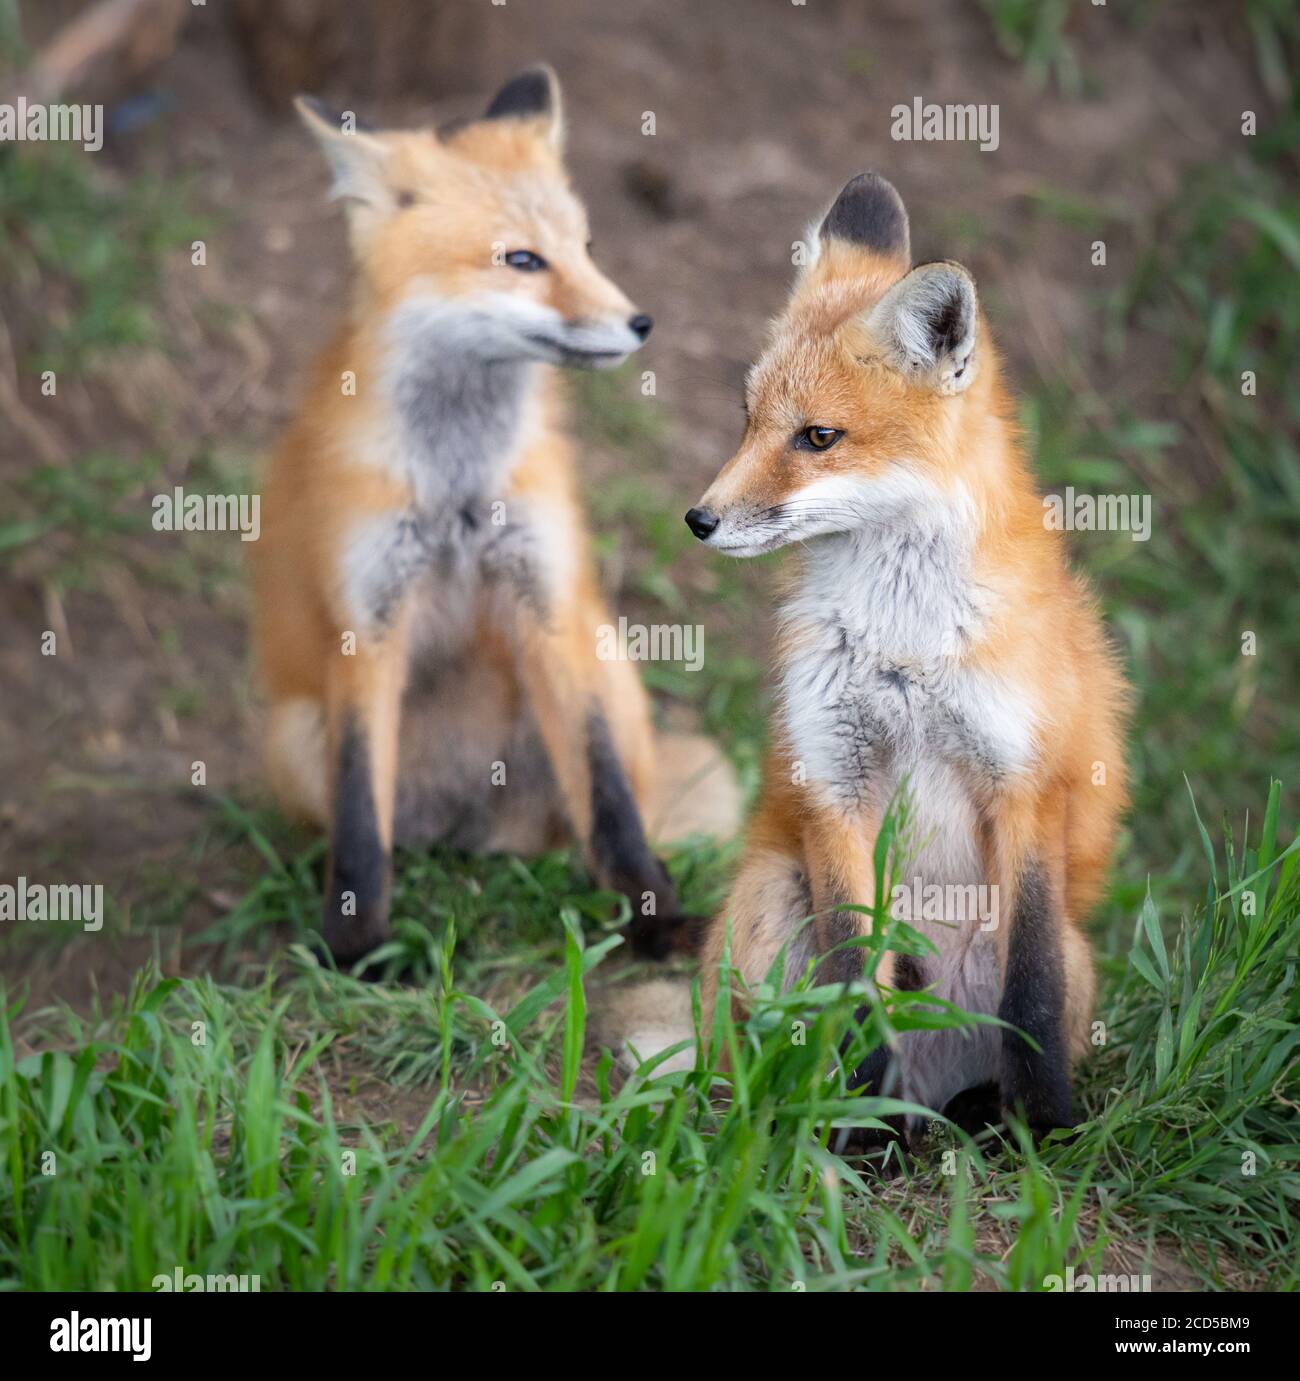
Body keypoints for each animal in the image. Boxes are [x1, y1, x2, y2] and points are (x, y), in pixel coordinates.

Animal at [252, 66, 739, 965]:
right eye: (521, 259)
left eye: (587, 247)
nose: (640, 322)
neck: (458, 486)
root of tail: (474, 836)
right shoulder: (366, 621)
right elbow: (359, 818)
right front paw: (355, 949)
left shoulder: (544, 597)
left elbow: (608, 801)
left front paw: (652, 917)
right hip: (293, 733)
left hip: (607, 660)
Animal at [686, 172, 1129, 1144]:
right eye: (747, 419)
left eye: (817, 437)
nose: (699, 519)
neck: (906, 644)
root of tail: (932, 1101)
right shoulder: (834, 778)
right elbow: (855, 980)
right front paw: (854, 1124)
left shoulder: (1022, 782)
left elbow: (1032, 995)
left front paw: (1047, 1131)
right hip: (768, 899)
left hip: (1071, 949)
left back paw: (982, 1119)